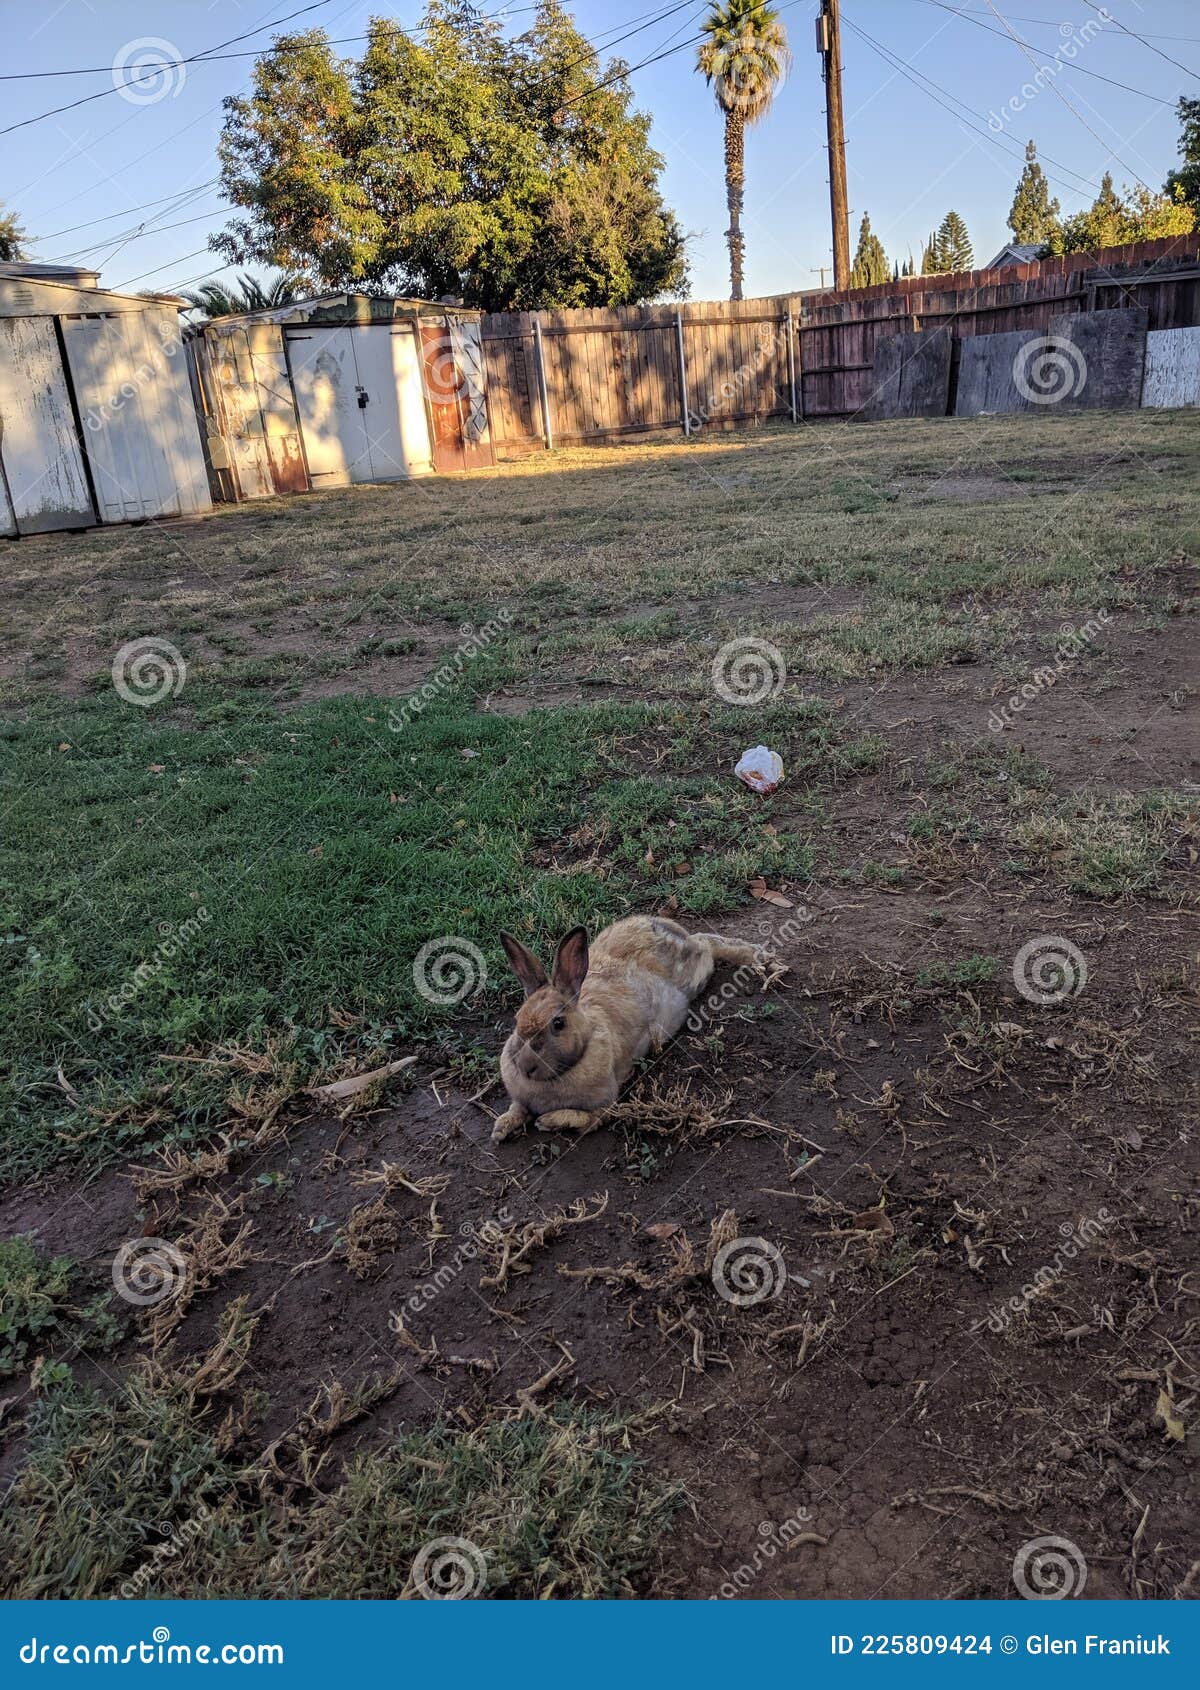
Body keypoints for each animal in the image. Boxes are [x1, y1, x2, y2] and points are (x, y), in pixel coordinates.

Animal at [491, 915, 766, 1143]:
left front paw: (547, 1121)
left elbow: (585, 1119)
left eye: (558, 1024)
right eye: (517, 1020)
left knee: (706, 943)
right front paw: (501, 1129)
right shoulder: (521, 1099)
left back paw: (756, 956)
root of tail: (660, 924)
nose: (526, 1067)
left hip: (696, 971)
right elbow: (517, 1108)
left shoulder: (606, 1103)